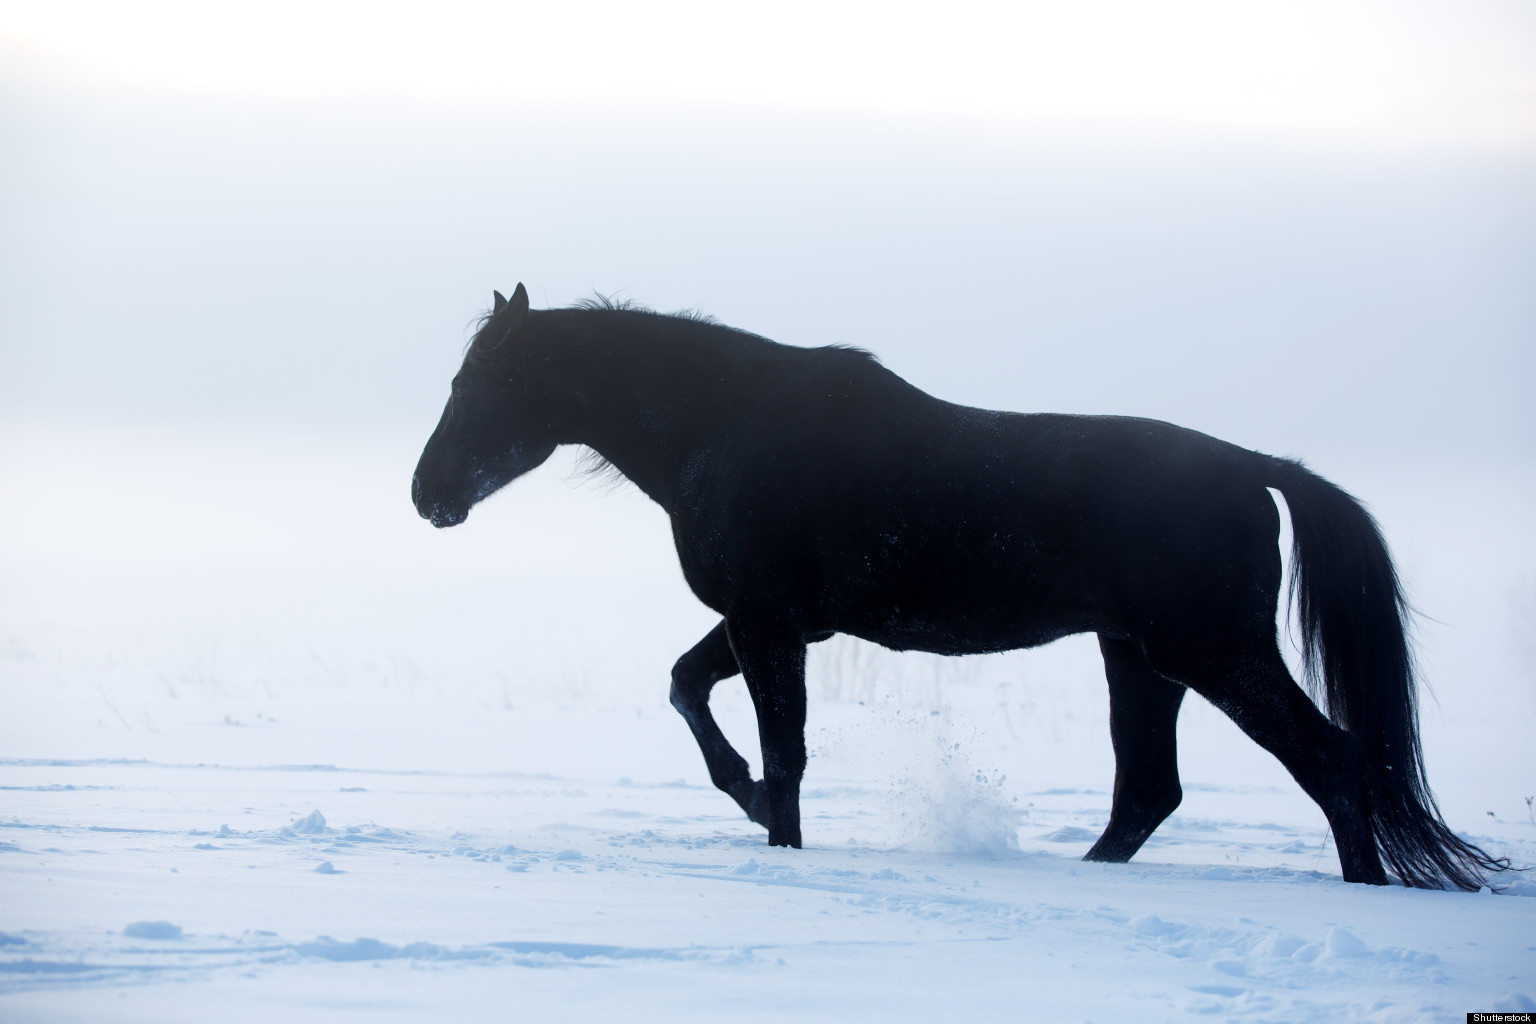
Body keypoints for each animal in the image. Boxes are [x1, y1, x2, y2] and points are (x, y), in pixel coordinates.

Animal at [411, 283, 1507, 891]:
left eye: (479, 386)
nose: (427, 494)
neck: (723, 427)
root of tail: (1255, 468)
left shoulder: (769, 624)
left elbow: (785, 752)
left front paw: (777, 831)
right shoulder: (772, 623)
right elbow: (690, 690)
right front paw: (752, 804)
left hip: (1213, 653)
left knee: (1331, 763)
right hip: (1141, 659)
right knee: (1149, 792)